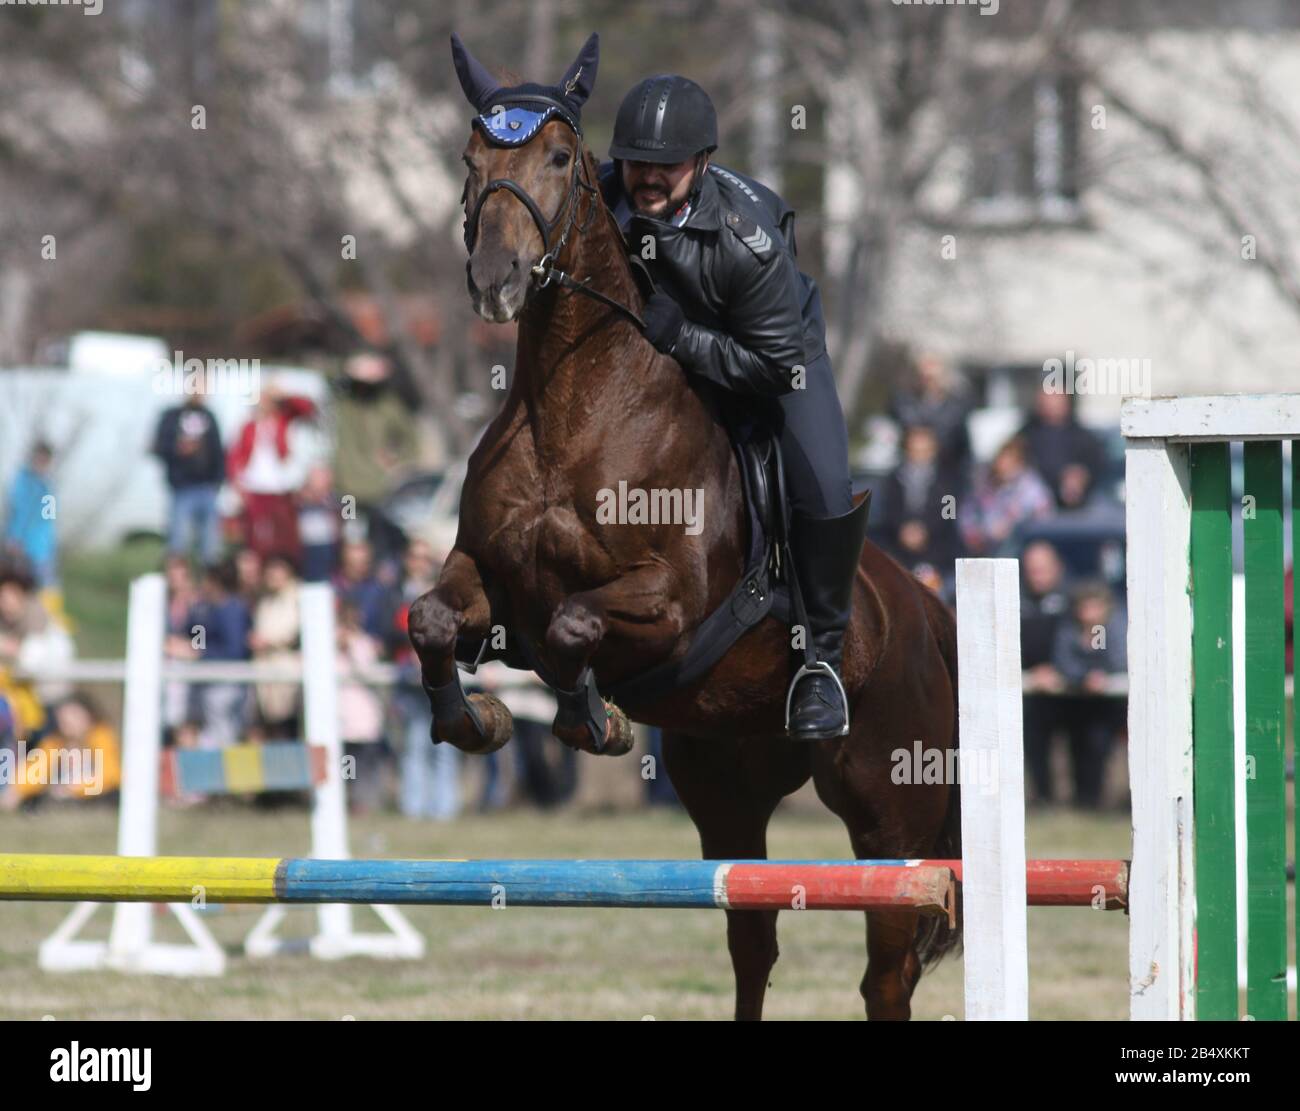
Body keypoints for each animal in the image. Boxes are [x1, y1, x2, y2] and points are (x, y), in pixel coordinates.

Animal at [409, 33, 961, 1020]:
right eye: (470, 160)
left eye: (561, 157)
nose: (495, 281)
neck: (570, 409)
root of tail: (924, 608)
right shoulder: (487, 582)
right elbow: (433, 617)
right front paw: (475, 719)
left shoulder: (668, 604)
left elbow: (575, 623)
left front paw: (595, 719)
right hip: (727, 786)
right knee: (753, 940)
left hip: (887, 807)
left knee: (887, 970)